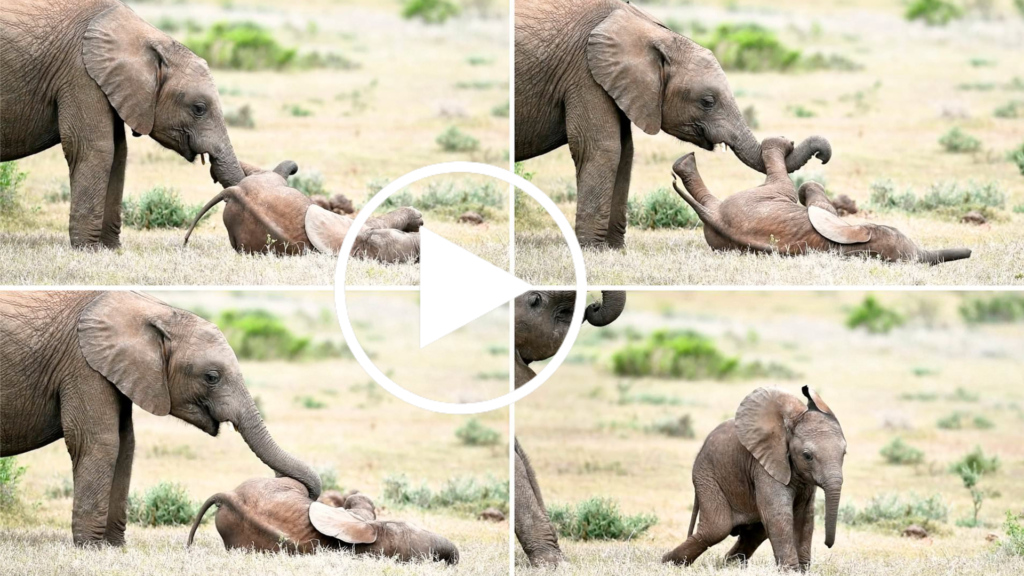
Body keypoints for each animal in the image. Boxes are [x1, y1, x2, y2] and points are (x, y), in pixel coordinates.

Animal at [0, 0, 246, 248]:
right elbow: (94, 149)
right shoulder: (80, 73)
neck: (147, 39)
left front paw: (110, 248)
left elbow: (118, 153)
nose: (185, 241)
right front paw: (86, 249)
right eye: (199, 109)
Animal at [0, 291, 321, 546]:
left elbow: (125, 445)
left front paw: (113, 547)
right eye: (212, 377)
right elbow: (98, 443)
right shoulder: (83, 364)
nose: (283, 481)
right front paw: (90, 548)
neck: (156, 312)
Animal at [514, 0, 832, 248]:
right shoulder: (585, 73)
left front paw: (613, 250)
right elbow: (601, 149)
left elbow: (625, 153)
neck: (652, 33)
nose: (821, 154)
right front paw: (591, 251)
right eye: (707, 101)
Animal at [663, 386, 846, 570]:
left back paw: (729, 565)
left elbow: (804, 516)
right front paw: (791, 571)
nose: (828, 544)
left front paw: (802, 571)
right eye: (807, 456)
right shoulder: (764, 465)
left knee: (755, 532)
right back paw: (666, 562)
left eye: (844, 453)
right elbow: (778, 515)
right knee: (716, 528)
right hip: (706, 476)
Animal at [670, 139, 972, 265]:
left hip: (761, 198)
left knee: (782, 182)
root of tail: (713, 217)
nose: (969, 251)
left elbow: (812, 192)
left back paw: (684, 163)